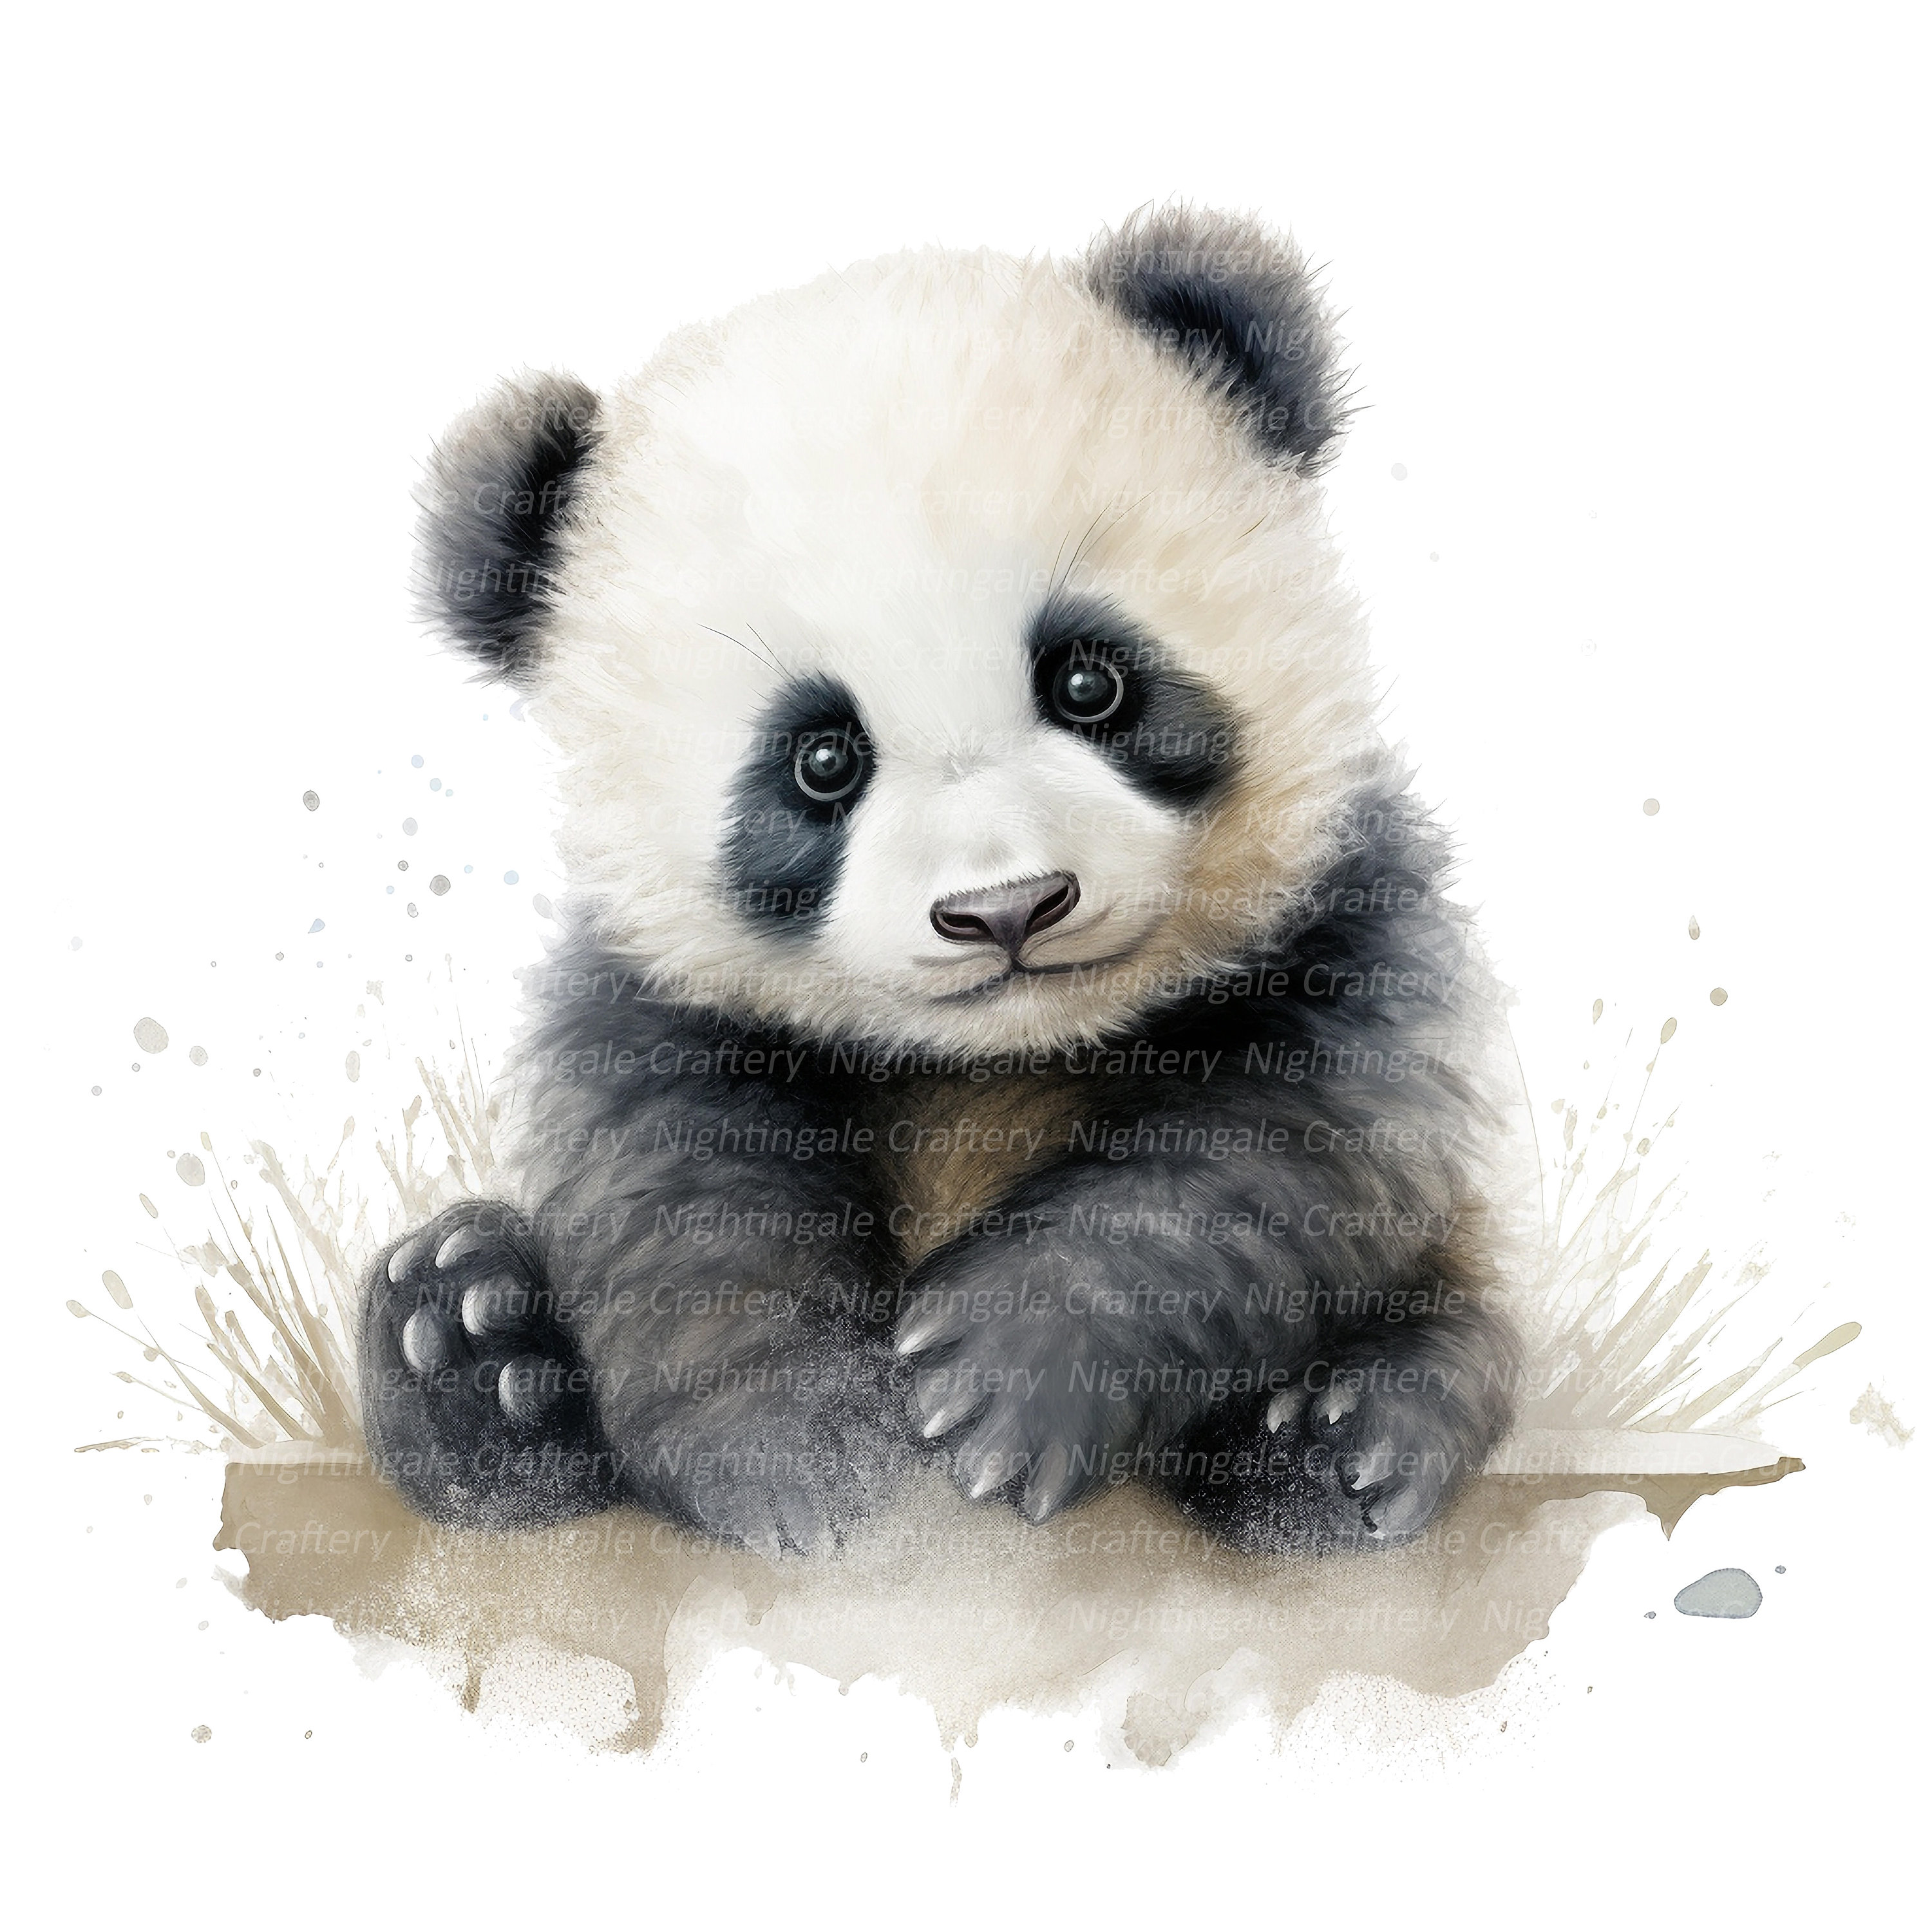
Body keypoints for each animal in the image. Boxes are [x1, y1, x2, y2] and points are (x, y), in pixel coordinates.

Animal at [358, 205, 1521, 1559]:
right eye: (820, 760)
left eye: (1090, 681)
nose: (1007, 908)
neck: (1002, 1050)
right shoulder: (658, 992)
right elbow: (677, 1192)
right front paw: (802, 1453)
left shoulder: (1347, 907)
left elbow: (1291, 1141)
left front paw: (1005, 1377)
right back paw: (467, 1341)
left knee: (1448, 1335)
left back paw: (1331, 1439)